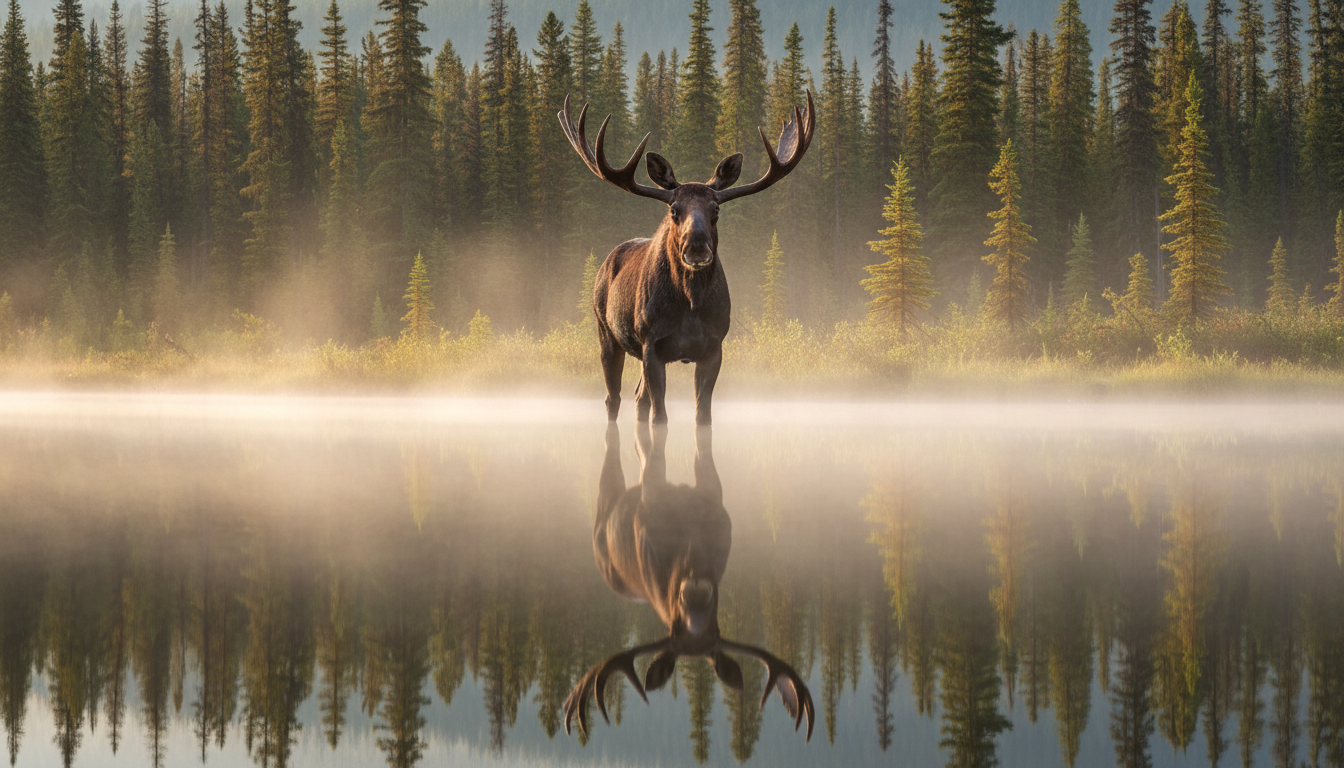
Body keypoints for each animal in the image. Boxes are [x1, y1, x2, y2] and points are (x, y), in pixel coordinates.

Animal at [558, 91, 815, 426]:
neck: (691, 304)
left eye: (716, 208)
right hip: (607, 333)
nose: (697, 248)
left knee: (638, 398)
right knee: (614, 398)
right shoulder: (652, 345)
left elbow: (701, 414)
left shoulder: (714, 347)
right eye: (674, 209)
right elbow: (660, 416)